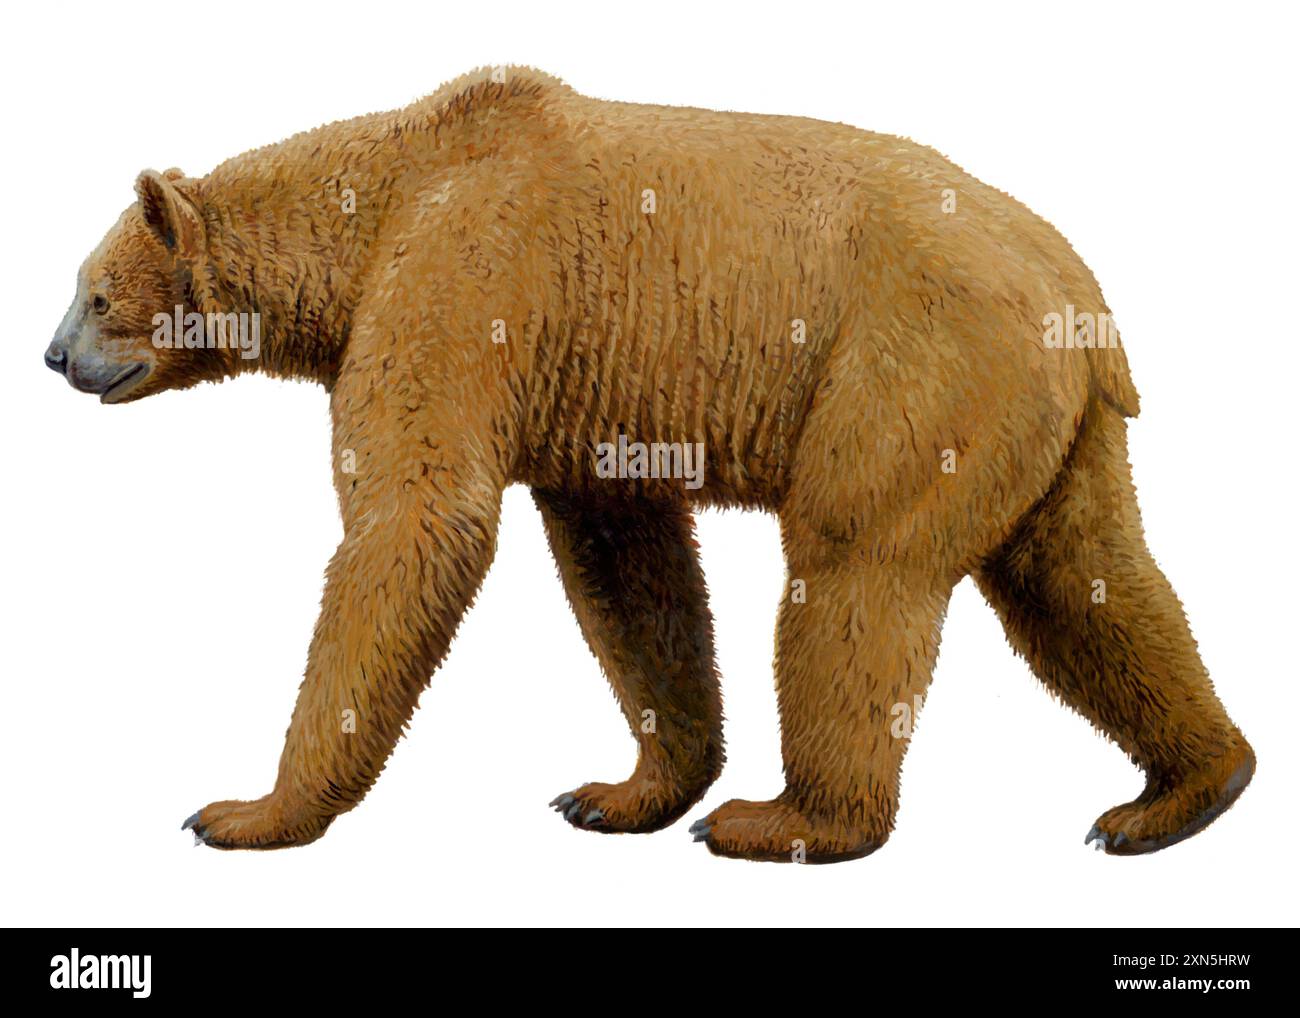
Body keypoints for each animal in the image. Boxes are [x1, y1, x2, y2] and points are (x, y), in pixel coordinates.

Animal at [45, 66, 1253, 861]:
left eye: (95, 292)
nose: (53, 355)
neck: (374, 198)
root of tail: (1080, 293)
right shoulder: (587, 379)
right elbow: (628, 568)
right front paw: (622, 789)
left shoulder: (458, 272)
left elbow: (418, 516)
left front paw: (242, 810)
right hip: (1045, 419)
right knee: (1085, 578)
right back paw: (1183, 789)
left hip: (914, 365)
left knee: (855, 570)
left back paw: (793, 820)